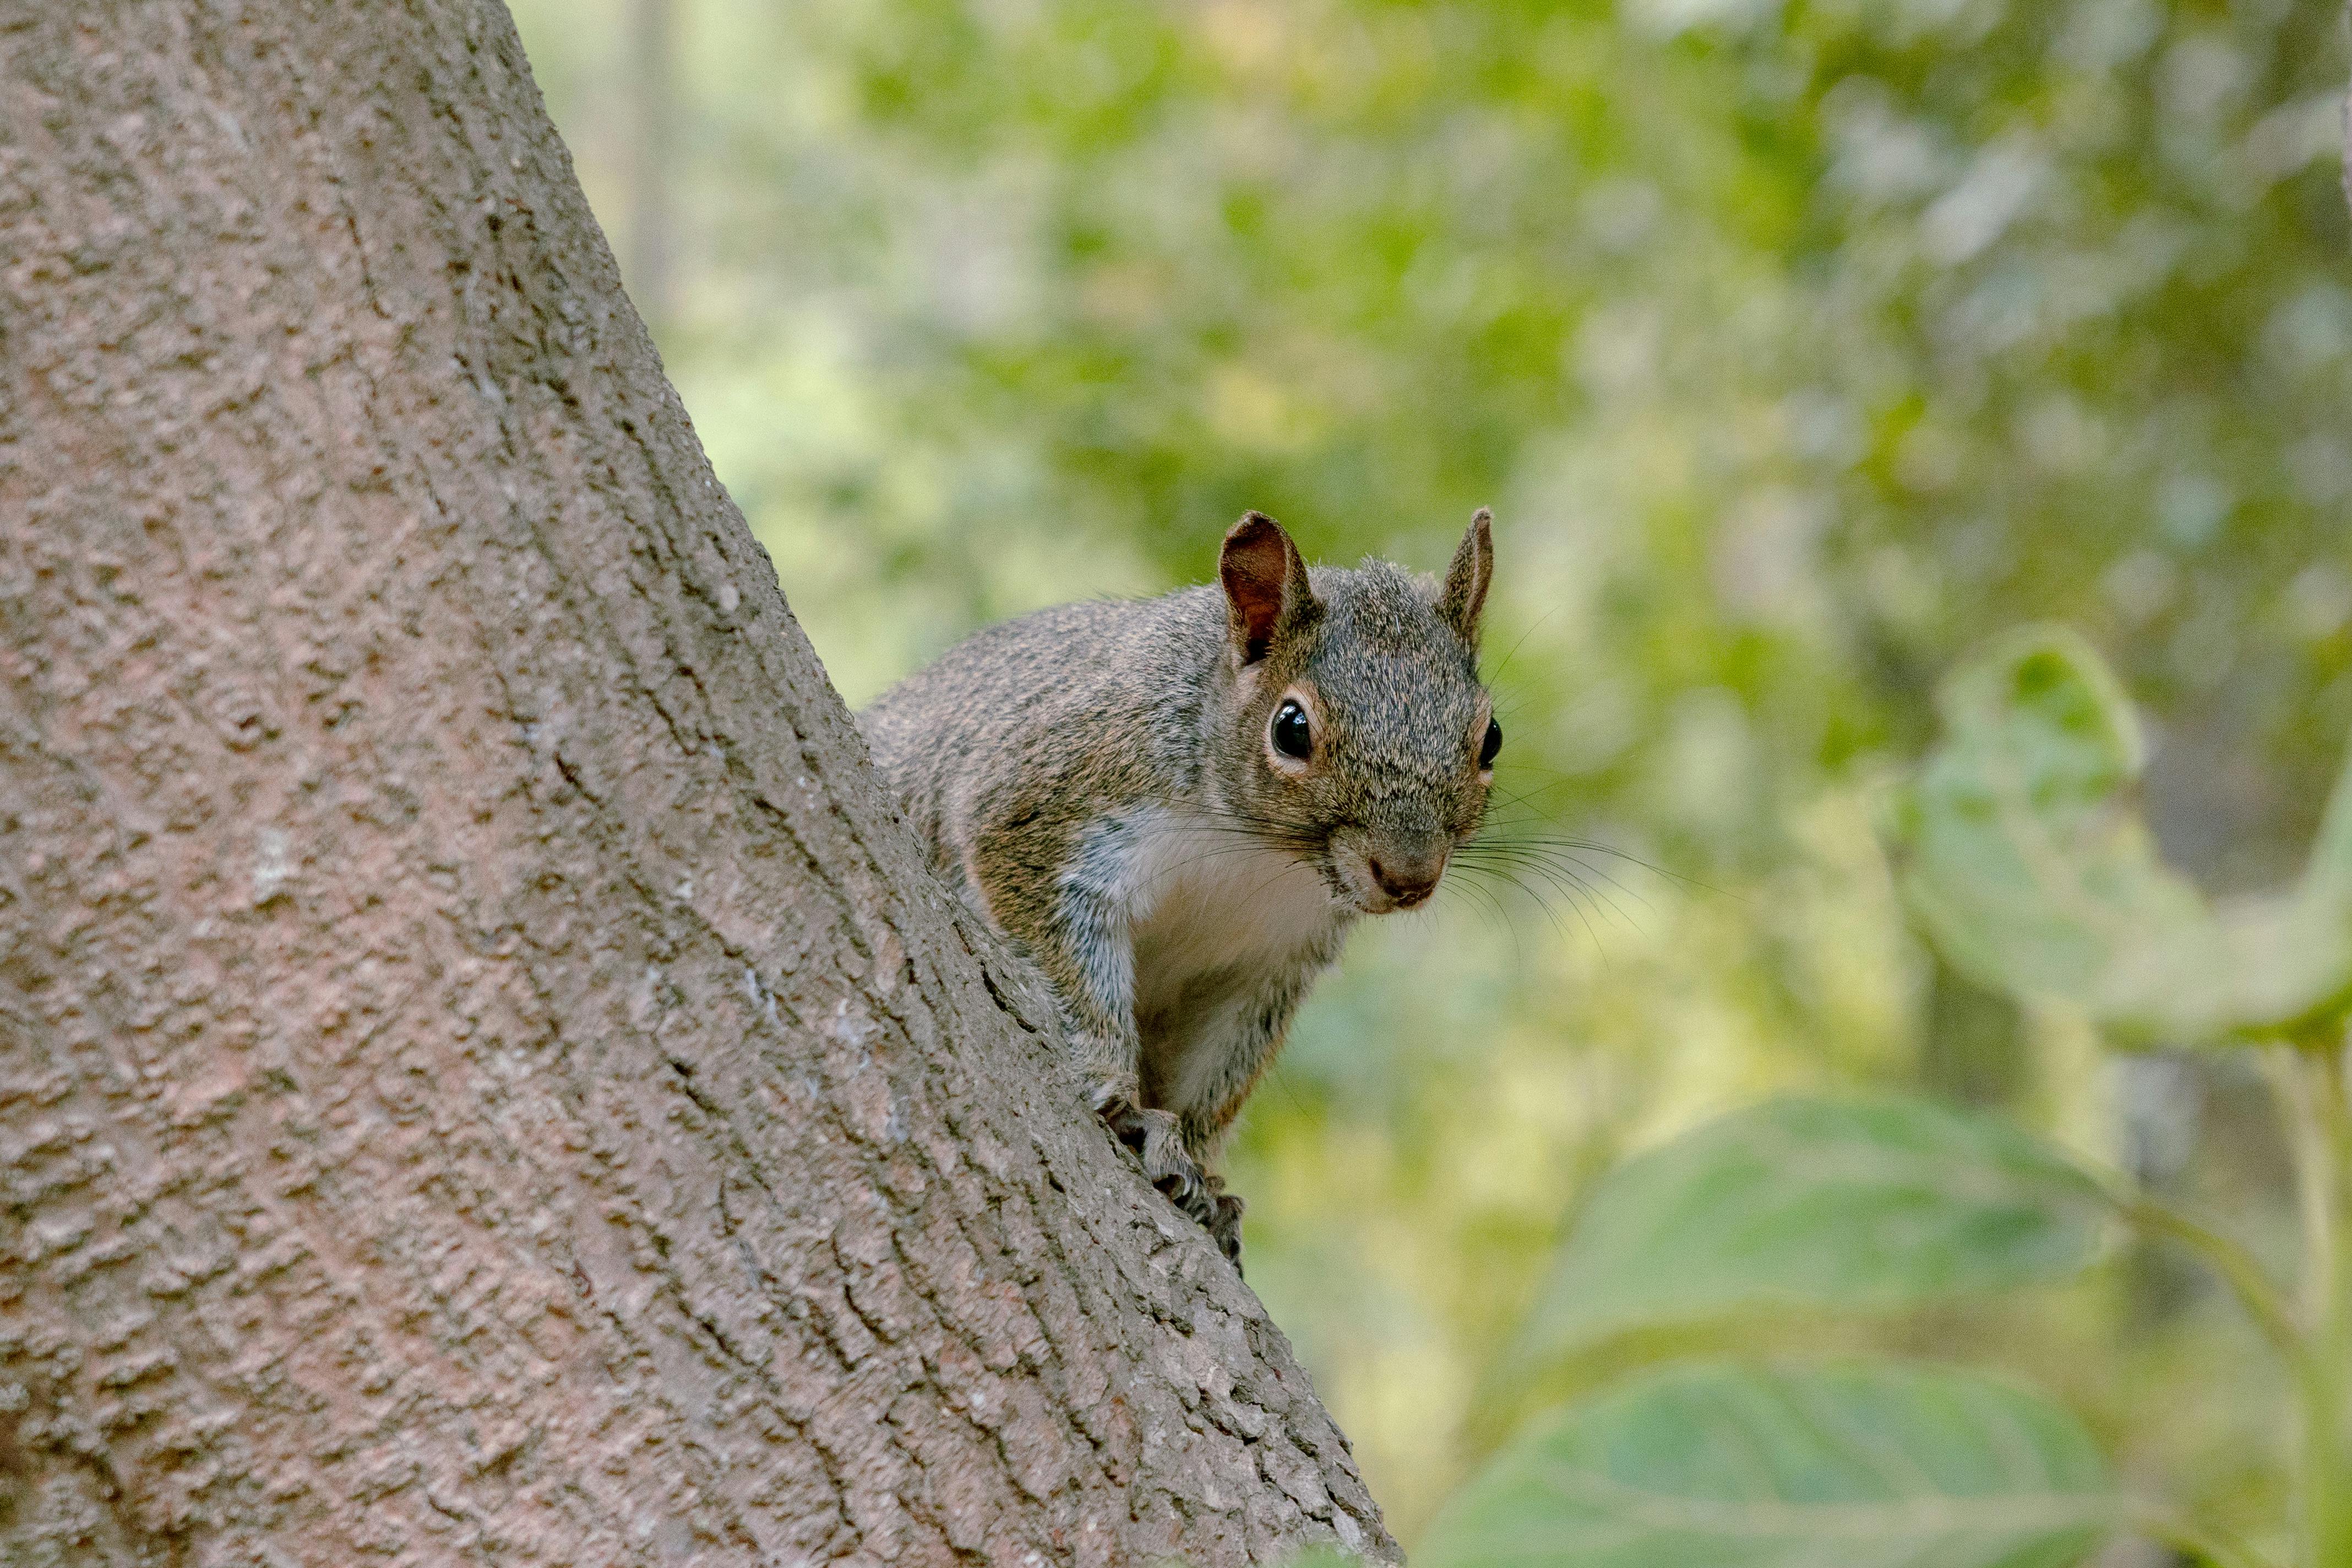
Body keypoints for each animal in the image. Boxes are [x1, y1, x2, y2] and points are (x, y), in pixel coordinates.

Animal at [859, 509, 1499, 1269]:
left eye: (1491, 737)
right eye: (1291, 728)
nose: (1409, 875)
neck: (1255, 852)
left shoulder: (1263, 963)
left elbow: (1216, 1073)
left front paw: (1198, 1166)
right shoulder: (1050, 802)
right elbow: (1061, 957)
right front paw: (1119, 1091)